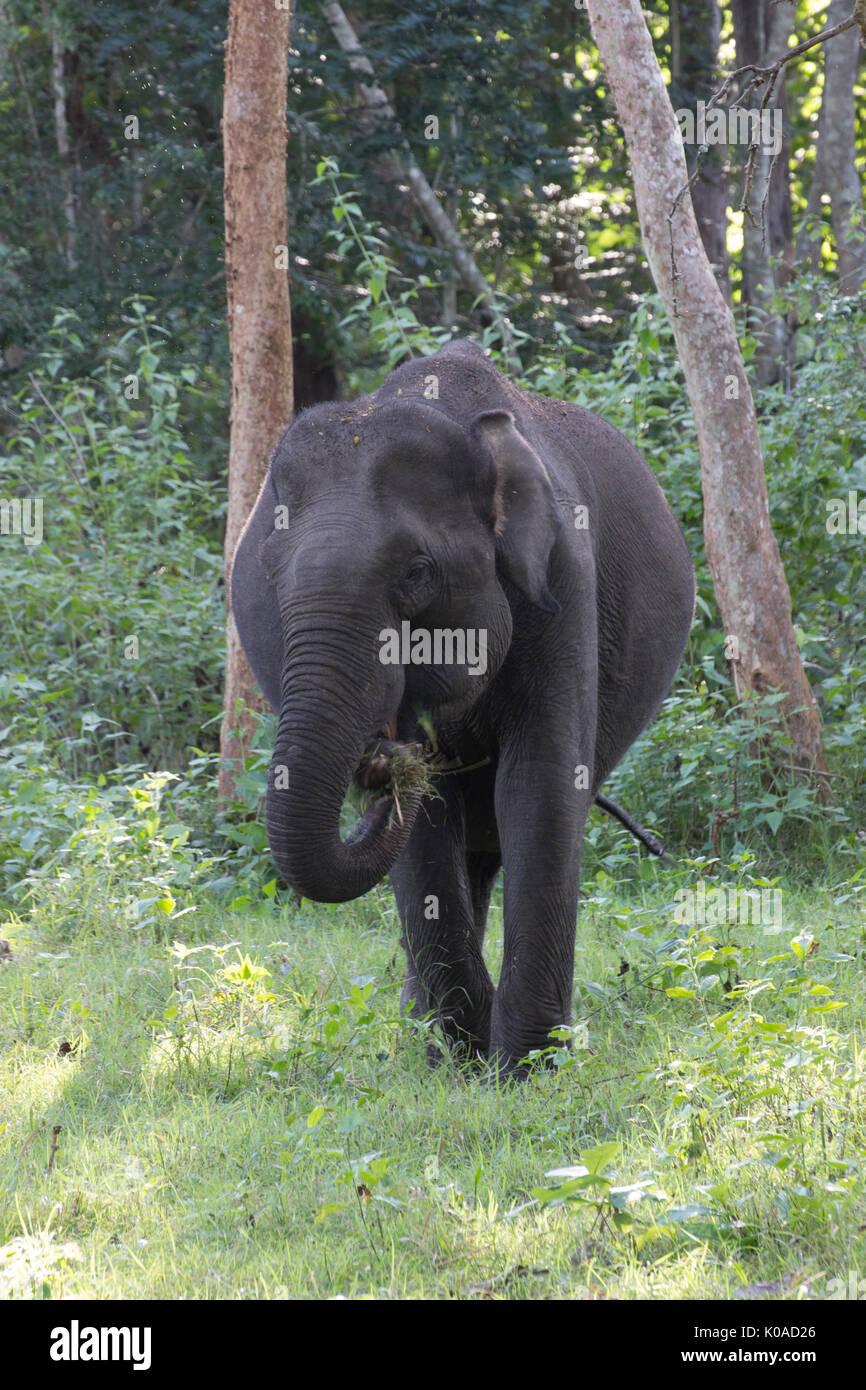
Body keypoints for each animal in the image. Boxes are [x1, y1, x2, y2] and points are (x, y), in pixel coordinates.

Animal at [231, 339, 695, 1074]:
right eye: (269, 577)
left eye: (416, 574)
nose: (382, 756)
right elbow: (428, 823)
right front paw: (464, 1054)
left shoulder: (564, 583)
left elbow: (538, 785)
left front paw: (525, 1067)